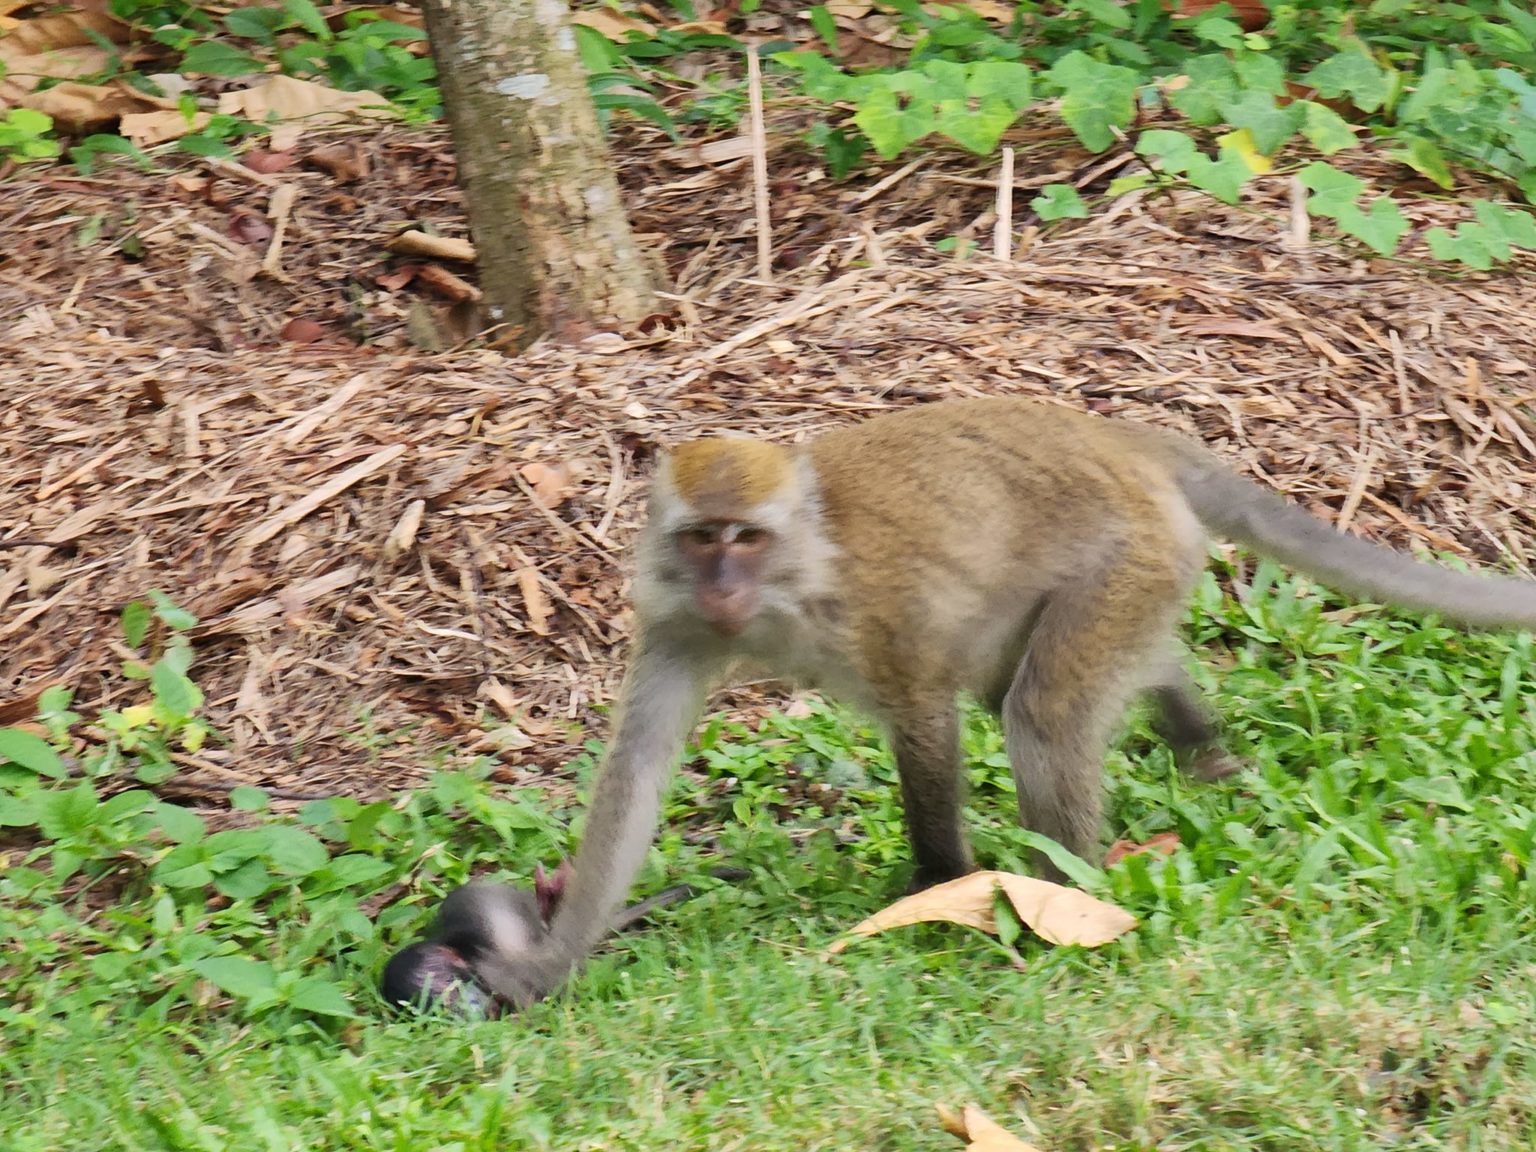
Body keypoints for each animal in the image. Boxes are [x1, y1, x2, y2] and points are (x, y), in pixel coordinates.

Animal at [470, 396, 1536, 1011]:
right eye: (701, 539)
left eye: (747, 537)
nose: (724, 584)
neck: (790, 581)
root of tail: (1123, 440)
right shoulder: (677, 623)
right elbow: (638, 773)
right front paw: (549, 964)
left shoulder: (877, 614)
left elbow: (924, 719)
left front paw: (936, 887)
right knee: (1037, 684)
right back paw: (1191, 731)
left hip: (1131, 550)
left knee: (1044, 708)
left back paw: (1066, 895)